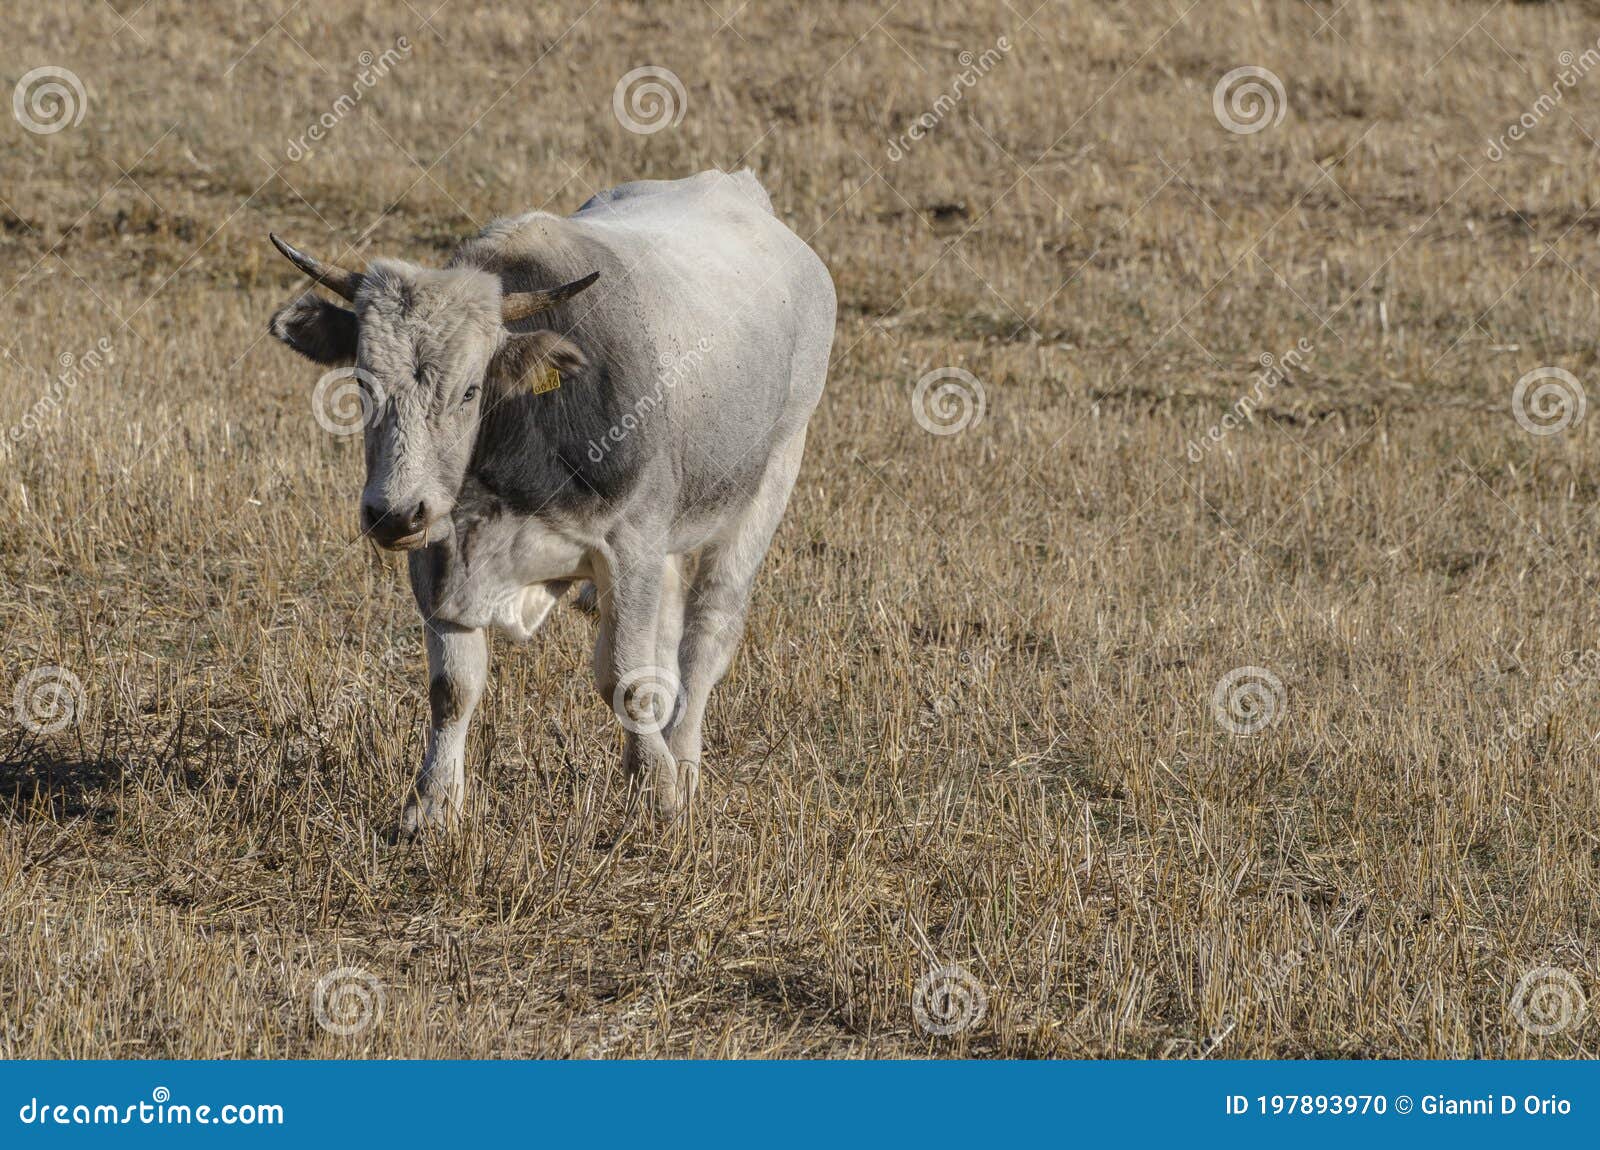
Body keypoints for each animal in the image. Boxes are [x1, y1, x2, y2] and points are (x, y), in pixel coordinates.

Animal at [267, 169, 836, 833]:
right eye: (360, 381)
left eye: (471, 390)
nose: (393, 513)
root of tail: (737, 187)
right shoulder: (436, 553)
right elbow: (454, 685)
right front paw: (432, 805)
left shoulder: (630, 546)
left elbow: (626, 677)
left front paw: (659, 790)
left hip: (771, 476)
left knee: (706, 634)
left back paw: (686, 762)